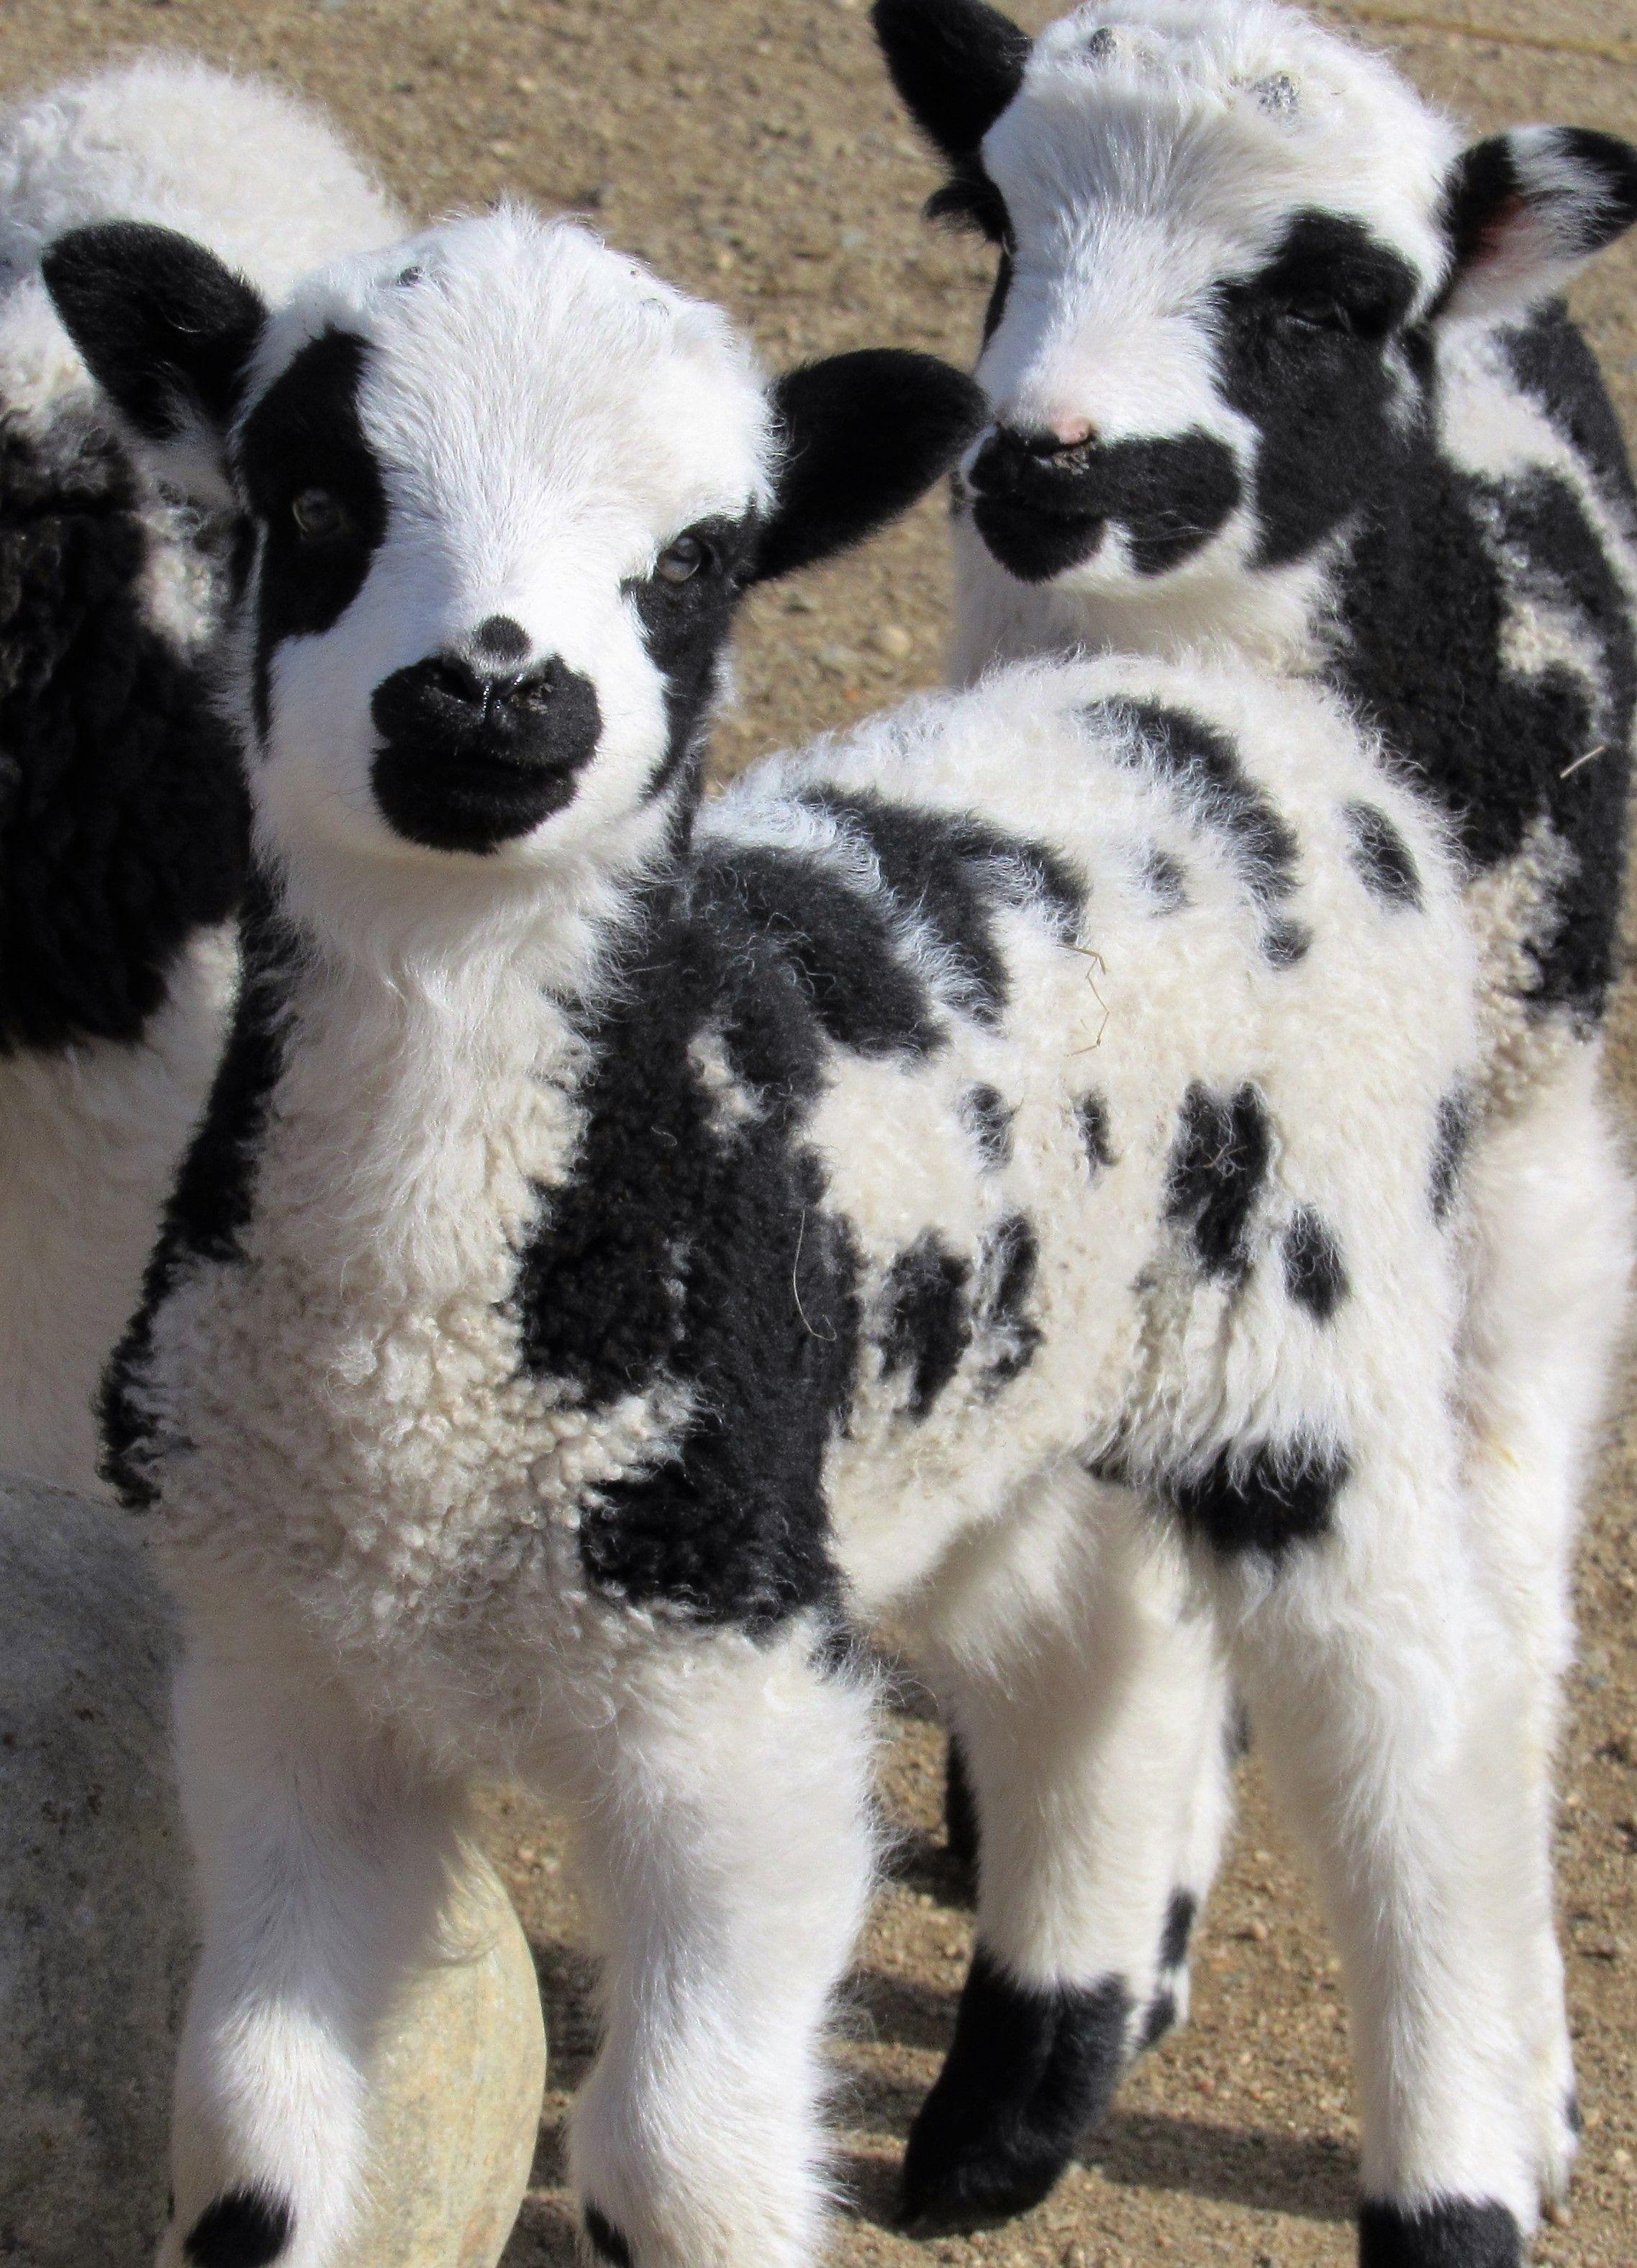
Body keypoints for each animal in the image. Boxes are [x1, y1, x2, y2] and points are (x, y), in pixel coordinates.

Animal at [44, 199, 1550, 2268]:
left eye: (698, 561)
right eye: (319, 496)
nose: (493, 692)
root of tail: (1214, 711)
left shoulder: (733, 1702)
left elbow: (672, 2154)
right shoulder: (282, 1674)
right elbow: (252, 2139)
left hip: (1316, 1307)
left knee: (1421, 1746)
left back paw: (1454, 2177)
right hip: (1010, 1376)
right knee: (1087, 1649)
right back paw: (1010, 2110)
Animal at [872, 0, 1637, 2215]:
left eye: (1321, 303)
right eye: (996, 222)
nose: (1037, 461)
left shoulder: (1516, 1191)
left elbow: (1479, 1620)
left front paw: (1520, 2080)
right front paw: (1097, 1965)